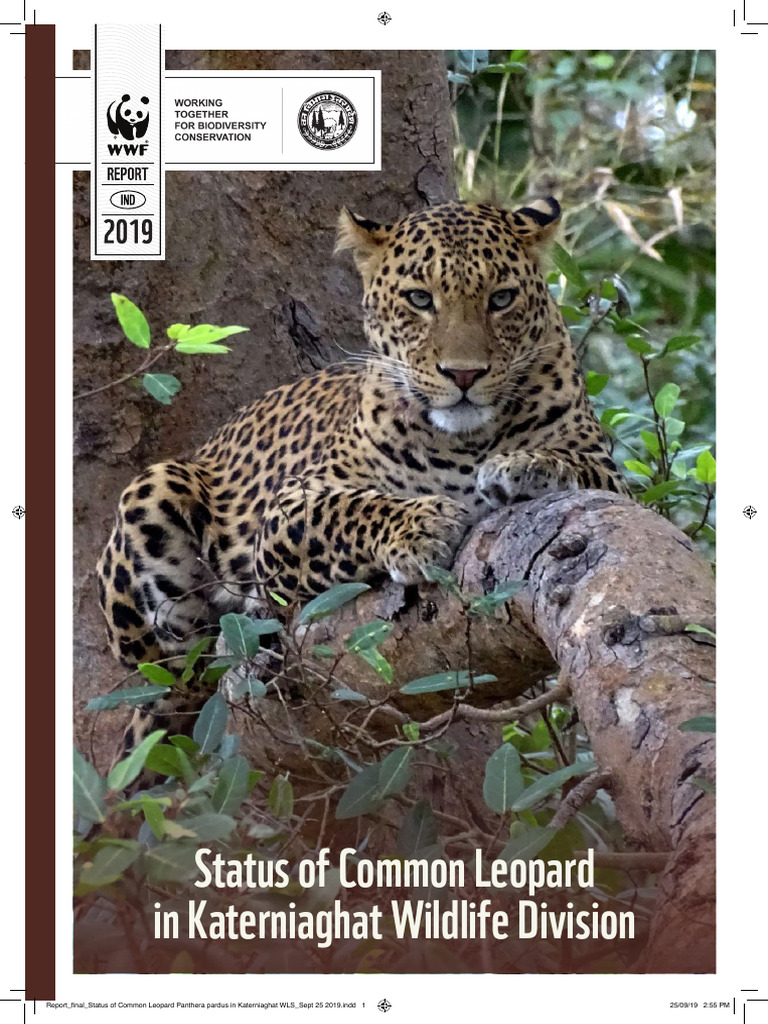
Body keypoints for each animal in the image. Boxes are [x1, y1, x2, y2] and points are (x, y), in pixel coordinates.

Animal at [96, 196, 628, 673]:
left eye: (501, 299)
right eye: (420, 299)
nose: (464, 374)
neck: (464, 441)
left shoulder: (608, 470)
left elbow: (578, 463)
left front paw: (526, 465)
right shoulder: (289, 507)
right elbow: (349, 510)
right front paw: (422, 525)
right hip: (154, 492)